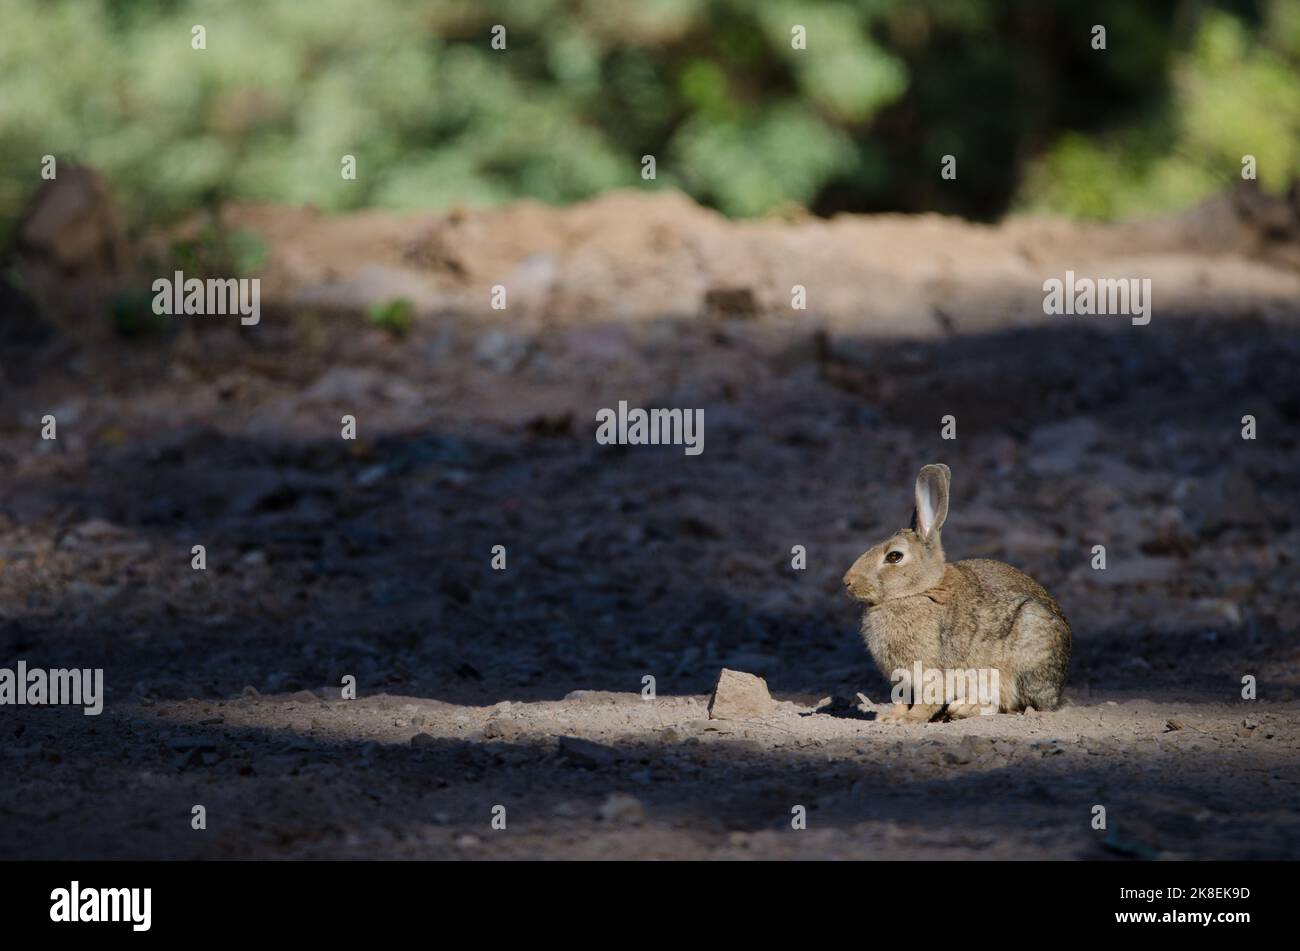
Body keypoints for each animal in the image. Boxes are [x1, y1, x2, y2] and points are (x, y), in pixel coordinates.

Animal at [842, 463, 1071, 723]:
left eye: (894, 556)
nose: (847, 581)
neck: (920, 590)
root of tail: (1057, 691)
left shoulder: (932, 671)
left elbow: (927, 700)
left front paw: (909, 720)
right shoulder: (902, 680)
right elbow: (901, 700)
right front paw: (889, 717)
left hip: (1022, 654)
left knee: (1008, 704)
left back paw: (963, 708)